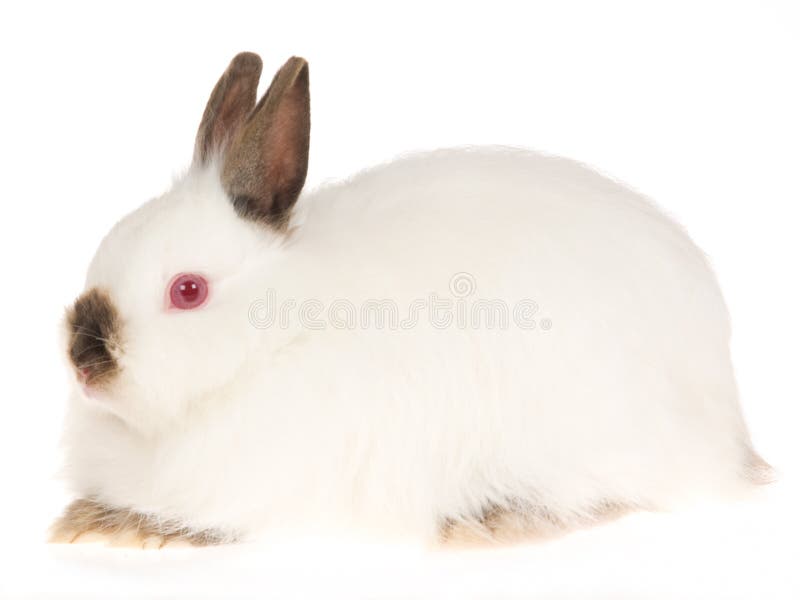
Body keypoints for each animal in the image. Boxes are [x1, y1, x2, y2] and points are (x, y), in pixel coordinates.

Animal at [51, 52, 771, 548]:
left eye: (188, 291)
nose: (82, 364)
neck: (279, 337)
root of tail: (727, 416)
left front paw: (121, 527)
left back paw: (493, 524)